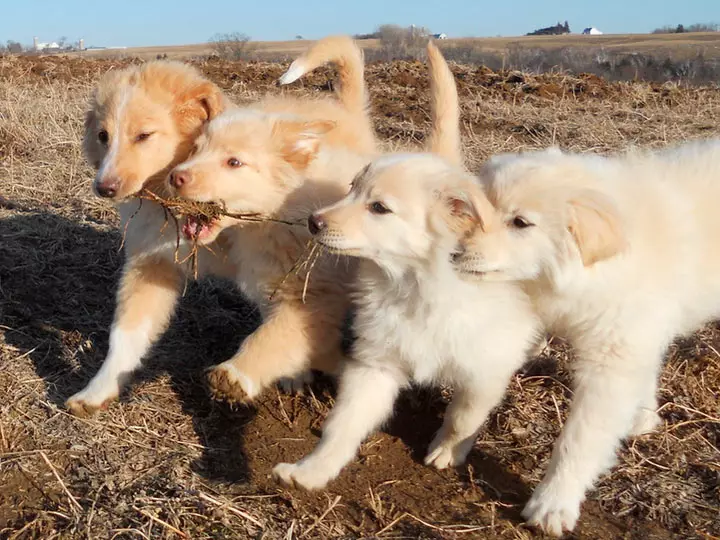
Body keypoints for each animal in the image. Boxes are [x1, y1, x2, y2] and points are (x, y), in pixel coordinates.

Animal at [66, 37, 376, 418]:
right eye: (103, 136)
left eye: (144, 135)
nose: (104, 188)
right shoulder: (153, 264)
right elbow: (126, 334)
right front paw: (96, 391)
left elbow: (295, 321)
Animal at [272, 45, 544, 490]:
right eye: (351, 189)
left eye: (379, 207)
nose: (313, 221)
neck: (415, 287)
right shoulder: (375, 366)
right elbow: (342, 425)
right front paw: (311, 471)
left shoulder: (485, 372)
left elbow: (464, 417)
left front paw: (448, 452)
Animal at [452, 141, 720, 536]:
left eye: (520, 223)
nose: (451, 250)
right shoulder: (633, 339)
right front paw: (642, 418)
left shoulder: (611, 361)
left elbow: (578, 440)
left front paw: (553, 504)